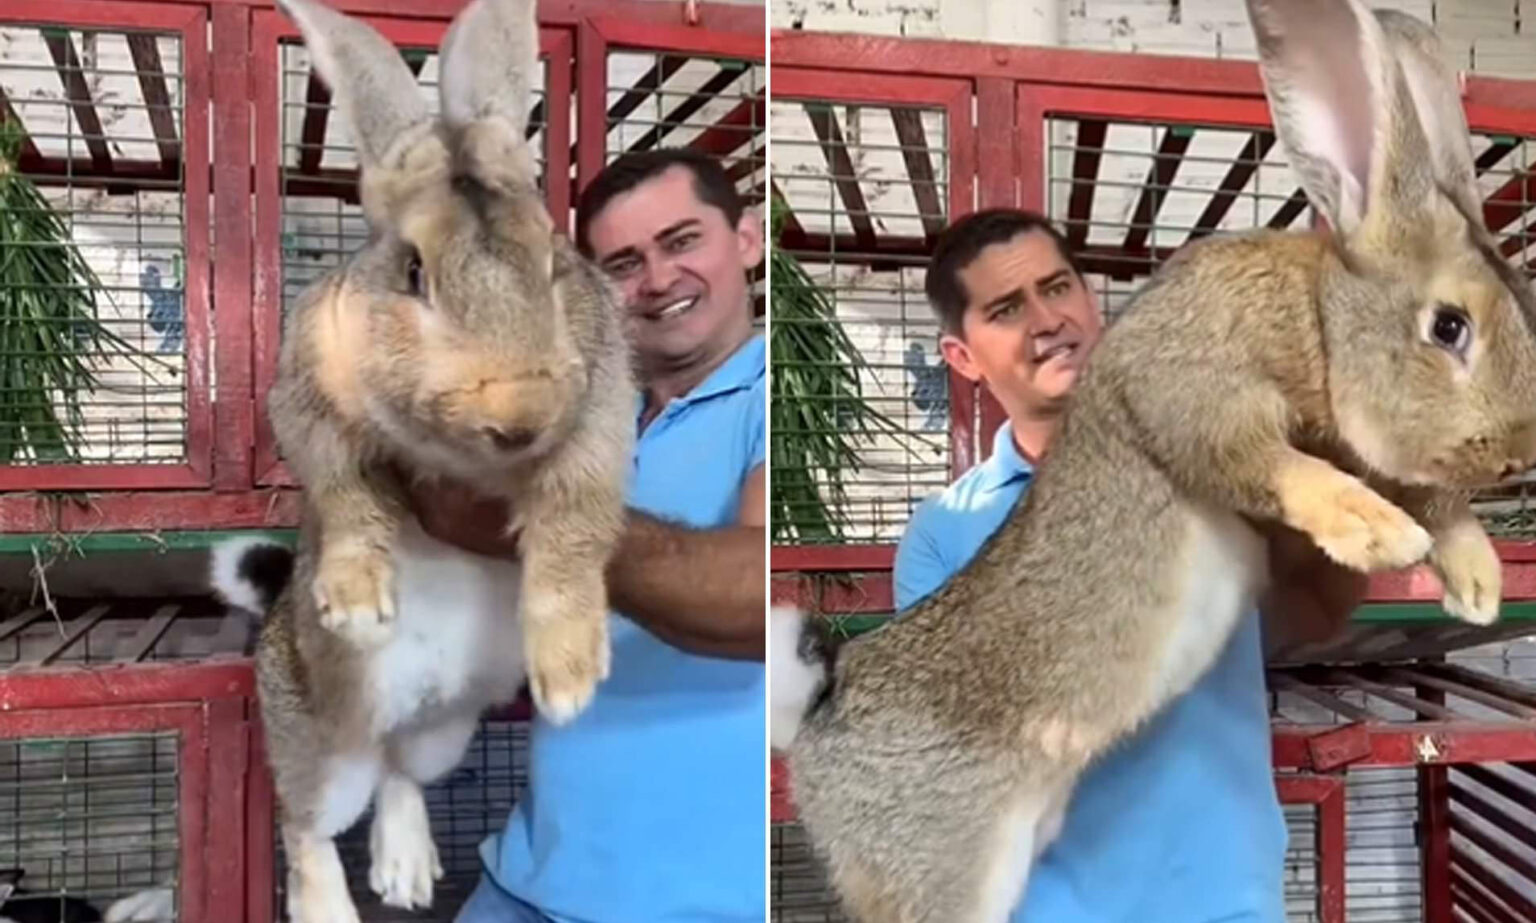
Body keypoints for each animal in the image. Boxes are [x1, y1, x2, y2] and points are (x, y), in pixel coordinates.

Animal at [213, 0, 635, 920]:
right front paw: (356, 601)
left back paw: (406, 871)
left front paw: (570, 677)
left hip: (442, 734)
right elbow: (347, 494)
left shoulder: (597, 427)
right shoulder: (311, 406)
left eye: (552, 261)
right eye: (413, 269)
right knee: (307, 820)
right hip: (319, 742)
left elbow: (572, 535)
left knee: (401, 774)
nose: (520, 414)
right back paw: (332, 904)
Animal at [768, 2, 1536, 921]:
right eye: (1449, 327)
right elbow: (1274, 464)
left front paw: (1475, 579)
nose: (1520, 454)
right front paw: (1377, 530)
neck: (1319, 319)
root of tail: (820, 705)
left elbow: (1437, 503)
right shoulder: (1191, 396)